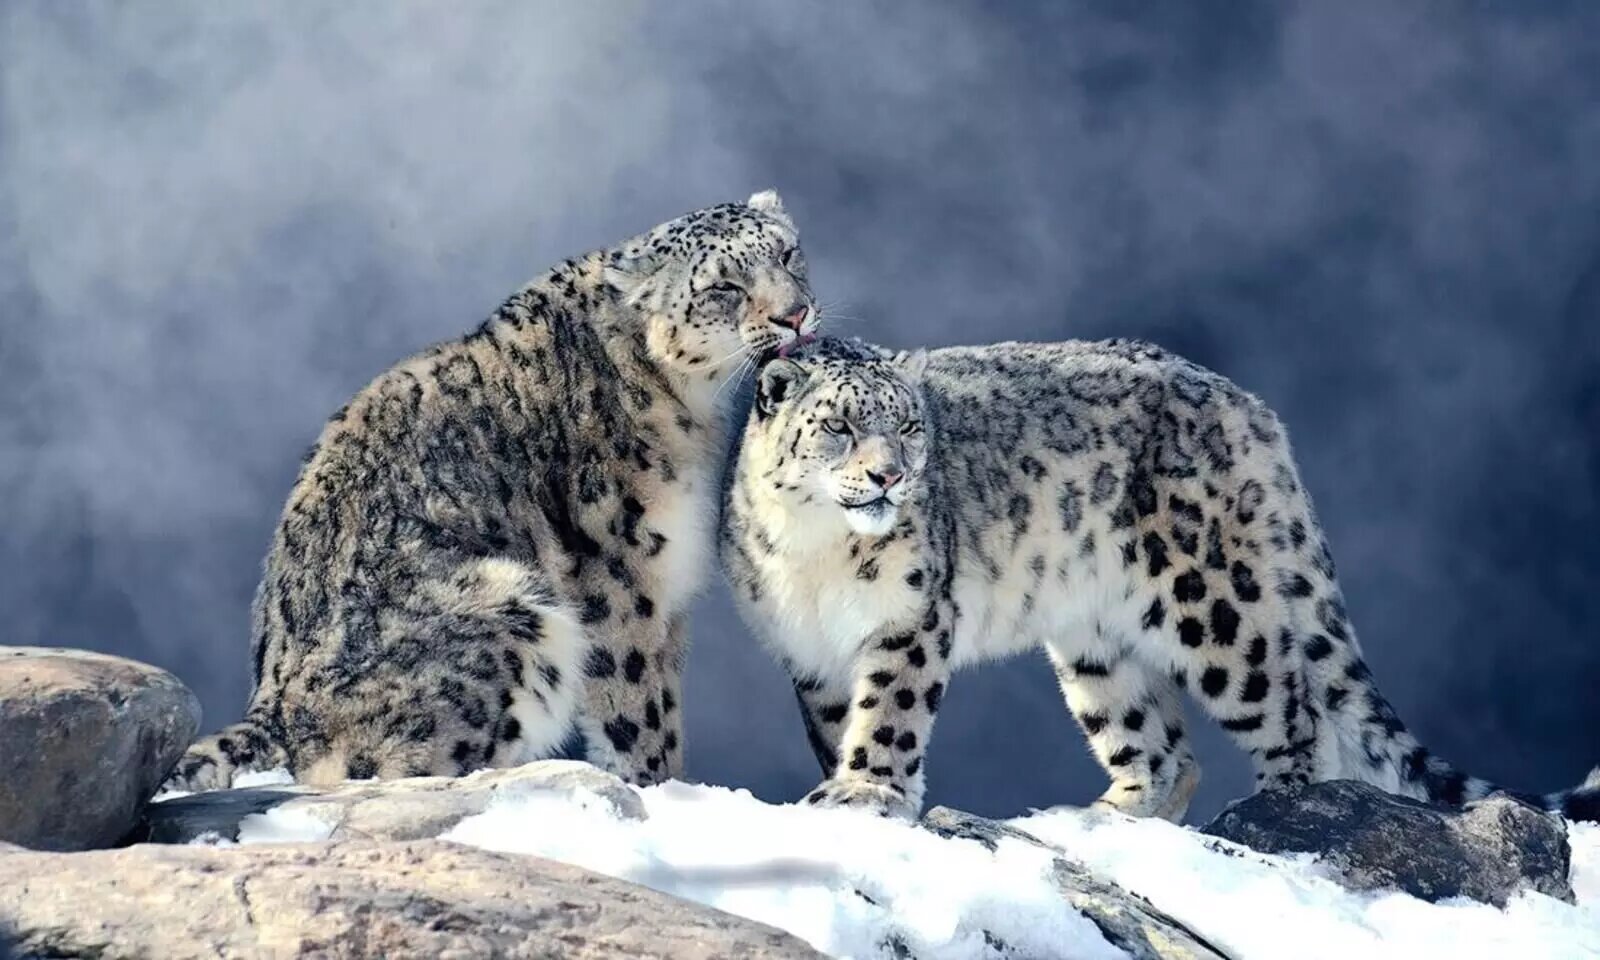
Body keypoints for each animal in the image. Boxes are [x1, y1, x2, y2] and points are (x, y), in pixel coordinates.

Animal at [162, 190, 818, 792]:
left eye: (788, 253)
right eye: (723, 286)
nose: (795, 315)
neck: (691, 403)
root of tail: (272, 707)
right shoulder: (621, 579)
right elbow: (641, 709)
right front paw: (663, 790)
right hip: (509, 609)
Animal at [721, 336, 1600, 823]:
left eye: (908, 426)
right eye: (839, 426)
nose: (890, 476)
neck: (818, 555)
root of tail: (1245, 404)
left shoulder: (909, 619)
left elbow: (891, 713)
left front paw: (867, 792)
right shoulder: (808, 655)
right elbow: (839, 723)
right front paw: (847, 785)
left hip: (1214, 603)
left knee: (1292, 705)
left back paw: (1275, 809)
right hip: (1095, 643)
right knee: (1161, 743)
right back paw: (1105, 817)